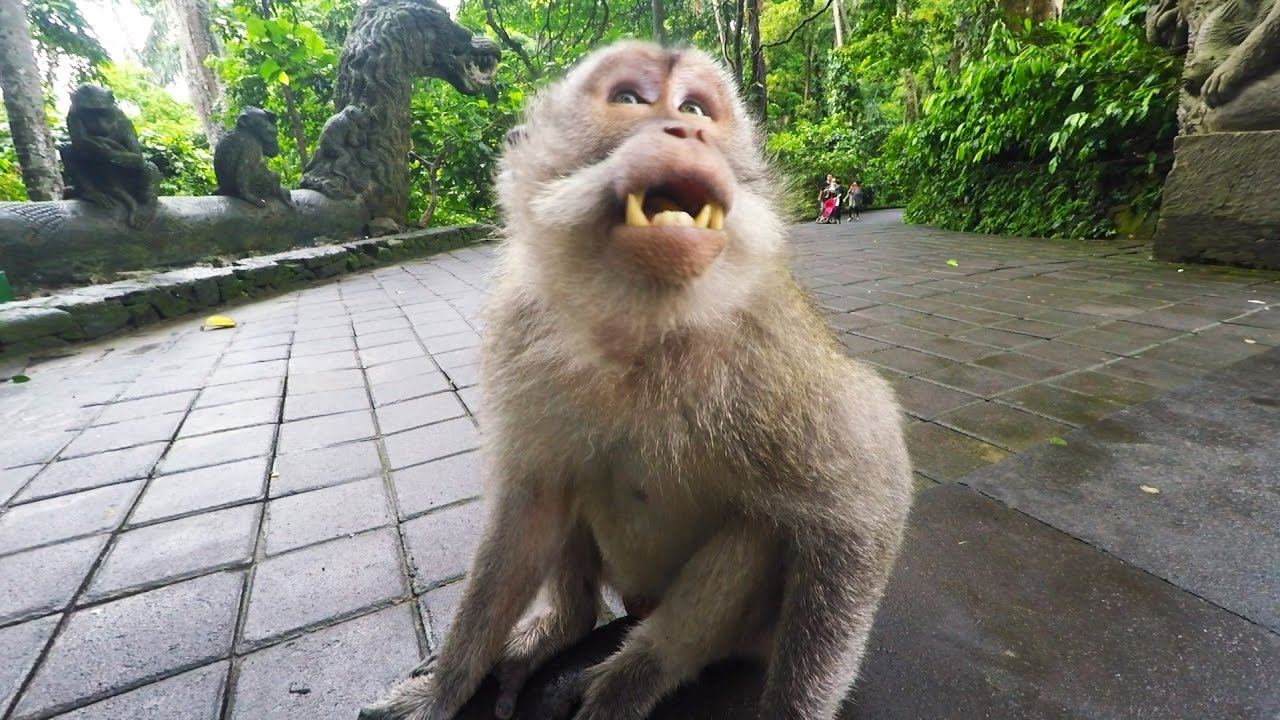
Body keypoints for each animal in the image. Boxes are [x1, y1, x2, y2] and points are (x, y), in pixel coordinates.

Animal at [359, 41, 914, 720]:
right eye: (629, 98)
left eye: (696, 108)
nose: (687, 130)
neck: (643, 333)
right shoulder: (520, 322)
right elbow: (531, 505)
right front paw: (441, 692)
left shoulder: (775, 349)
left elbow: (863, 503)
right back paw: (567, 625)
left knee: (760, 531)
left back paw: (635, 679)